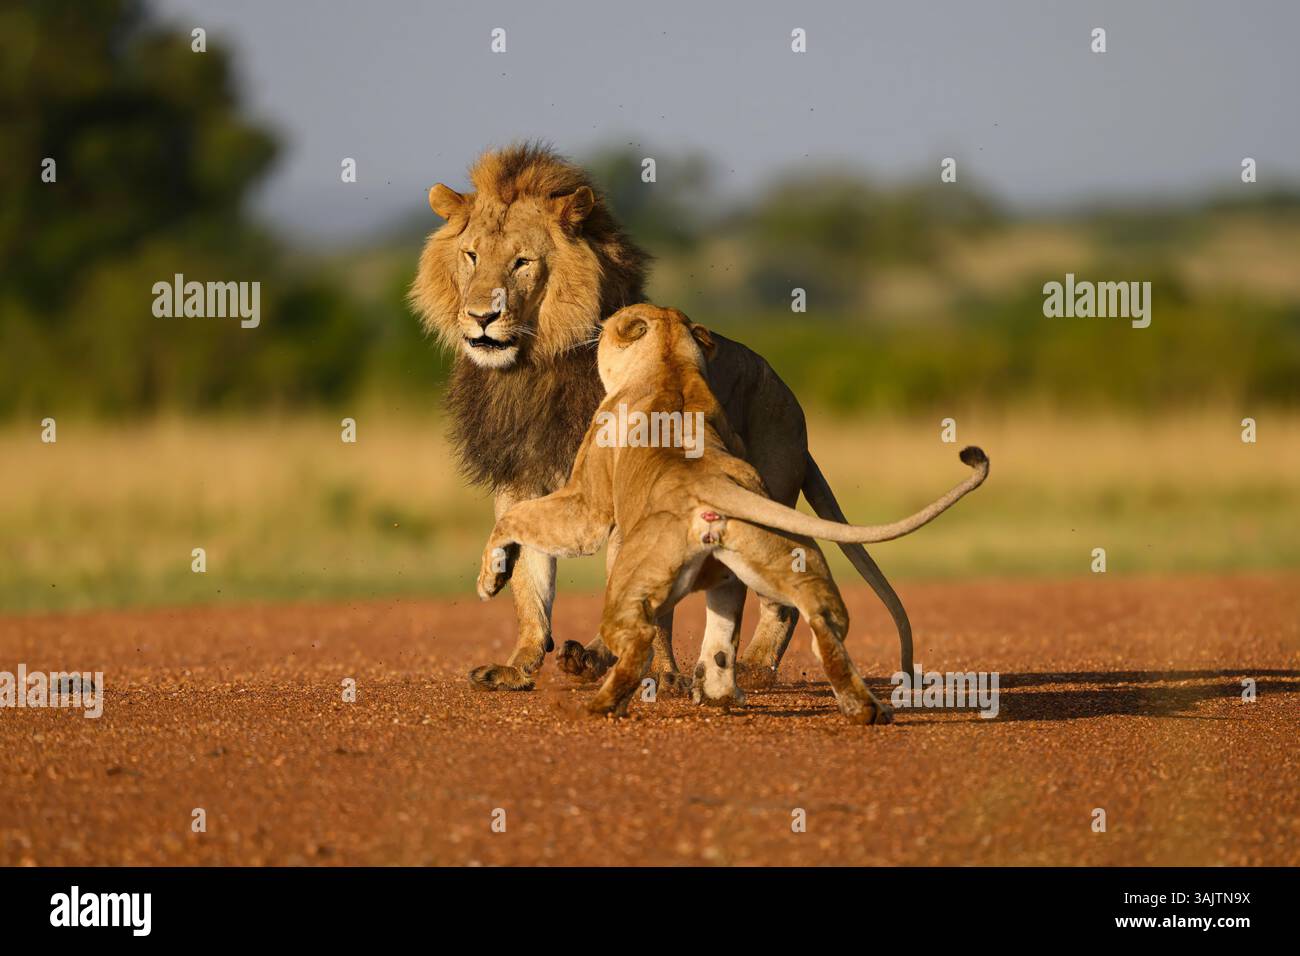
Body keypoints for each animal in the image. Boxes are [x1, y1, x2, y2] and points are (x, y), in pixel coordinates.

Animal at [409, 142, 918, 693]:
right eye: (471, 256)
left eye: (522, 262)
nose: (482, 316)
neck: (533, 364)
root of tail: (792, 404)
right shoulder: (522, 477)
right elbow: (531, 579)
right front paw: (520, 663)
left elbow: (633, 582)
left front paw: (637, 666)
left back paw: (746, 666)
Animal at [475, 305, 989, 722]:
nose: (597, 327)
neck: (670, 363)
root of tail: (711, 484)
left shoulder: (588, 505)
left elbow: (515, 517)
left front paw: (492, 576)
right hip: (768, 561)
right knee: (806, 619)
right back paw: (836, 704)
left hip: (635, 577)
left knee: (641, 636)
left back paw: (603, 703)